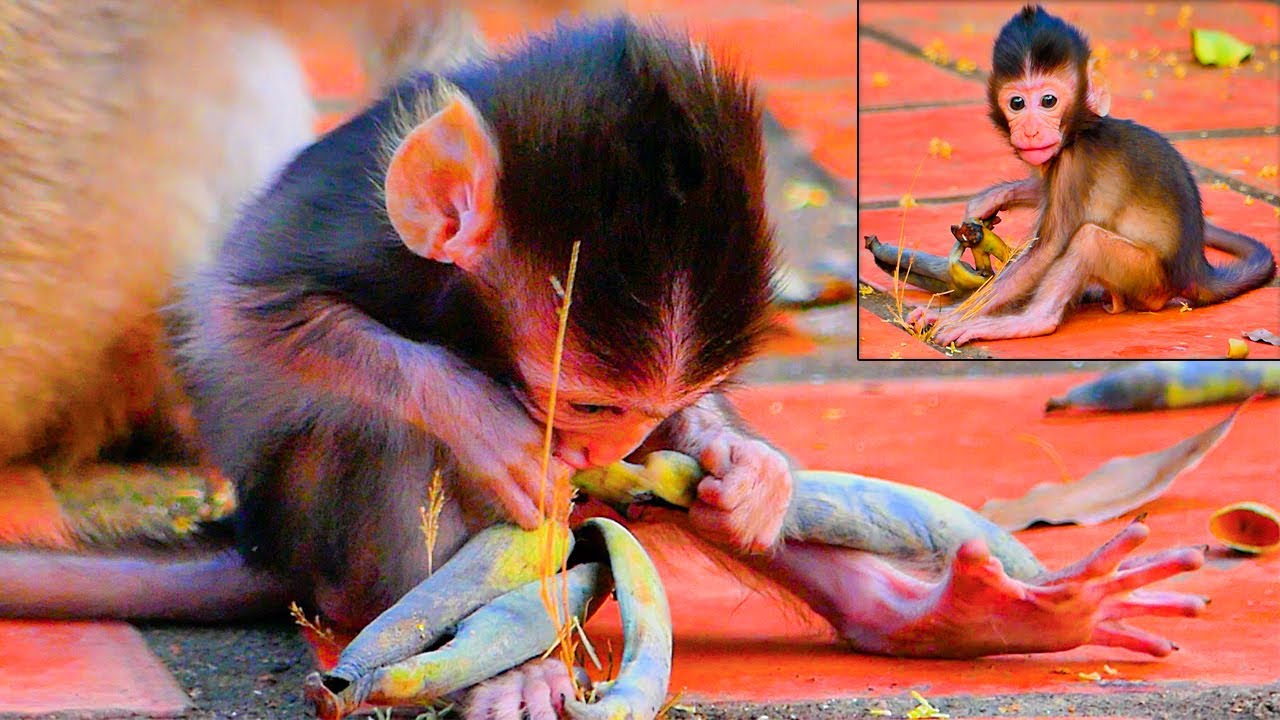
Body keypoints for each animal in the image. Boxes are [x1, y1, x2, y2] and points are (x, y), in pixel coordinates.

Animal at [1, 16, 1207, 720]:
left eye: (641, 407)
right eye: (582, 398)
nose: (605, 443)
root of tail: (260, 542)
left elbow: (709, 467)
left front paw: (739, 463)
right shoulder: (340, 229)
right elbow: (245, 328)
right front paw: (480, 419)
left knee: (664, 510)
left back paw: (944, 614)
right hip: (322, 541)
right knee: (376, 443)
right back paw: (509, 665)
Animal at [909, 4, 1276, 346]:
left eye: (1048, 101)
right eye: (1016, 103)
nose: (1030, 131)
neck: (1079, 131)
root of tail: (1194, 268)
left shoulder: (1075, 164)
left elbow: (1048, 249)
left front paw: (952, 314)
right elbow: (1042, 190)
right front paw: (992, 200)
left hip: (1148, 279)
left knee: (1089, 240)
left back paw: (1031, 321)